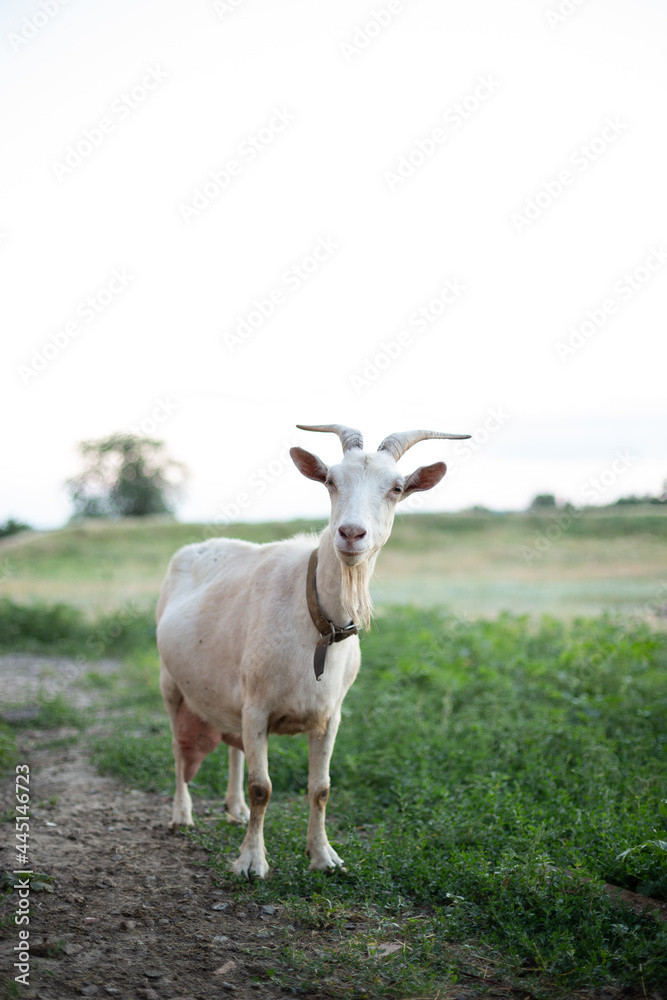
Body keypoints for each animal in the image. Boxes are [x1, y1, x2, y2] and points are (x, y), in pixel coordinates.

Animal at [156, 424, 470, 878]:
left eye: (396, 487)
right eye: (331, 481)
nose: (352, 534)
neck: (317, 620)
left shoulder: (330, 714)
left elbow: (320, 788)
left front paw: (324, 857)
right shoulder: (257, 708)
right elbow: (262, 787)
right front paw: (251, 862)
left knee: (231, 746)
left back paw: (233, 808)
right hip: (170, 682)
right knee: (179, 749)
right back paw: (182, 814)